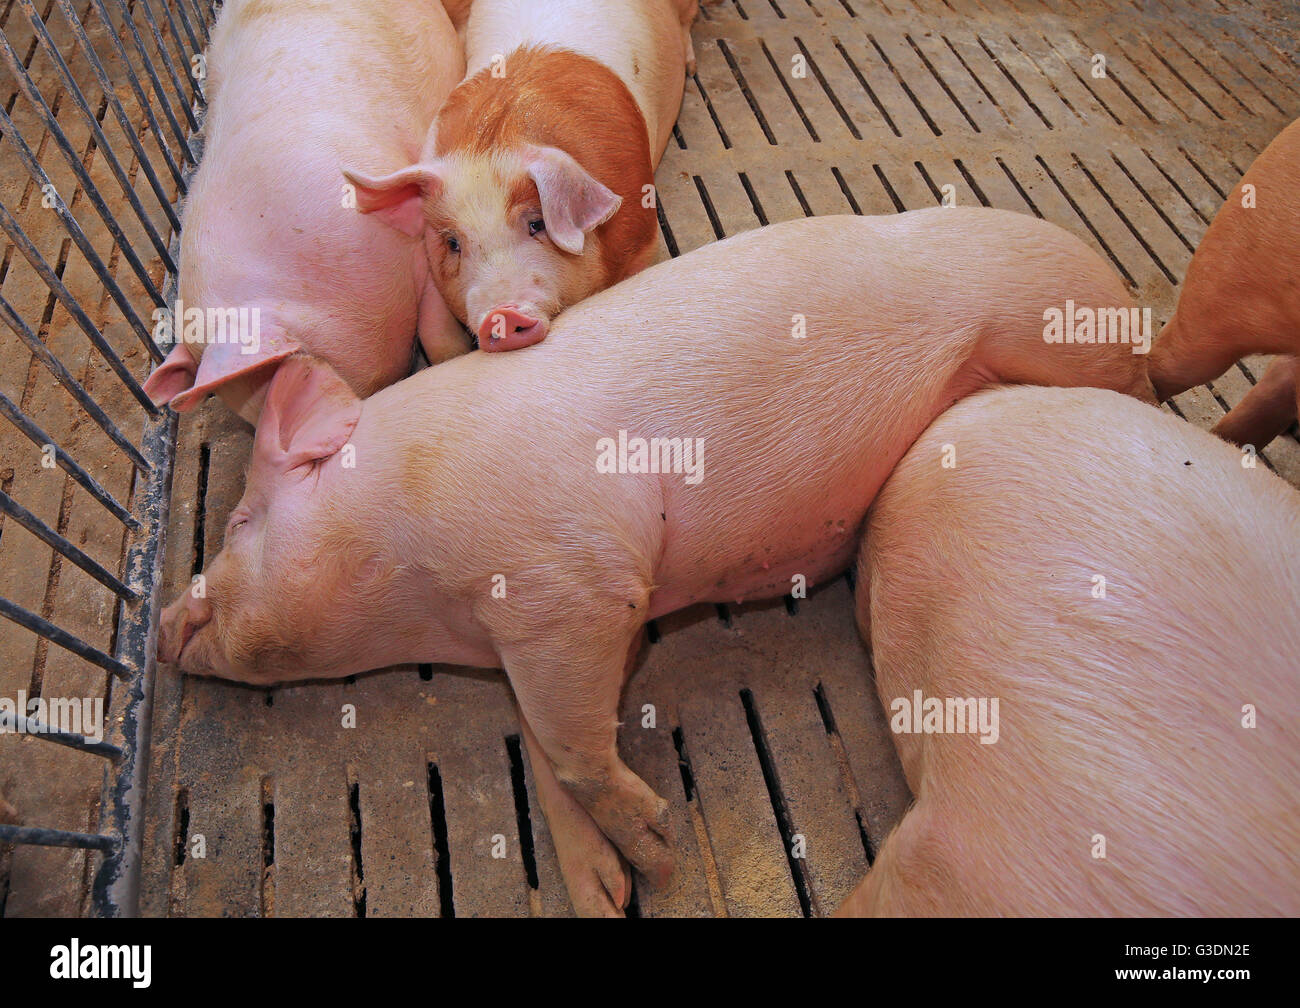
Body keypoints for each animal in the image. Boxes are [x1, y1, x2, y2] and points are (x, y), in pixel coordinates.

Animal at [156, 208, 1155, 916]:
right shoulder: (546, 634)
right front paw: (606, 893)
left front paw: (661, 848)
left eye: (238, 521)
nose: (167, 623)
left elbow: (570, 743)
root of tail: (1119, 298)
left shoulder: (577, 585)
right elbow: (544, 750)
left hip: (1049, 338)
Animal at [343, 0, 698, 351]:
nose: (500, 315)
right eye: (453, 243)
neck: (494, 141)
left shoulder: (643, 237)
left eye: (537, 224)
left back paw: (692, 66)